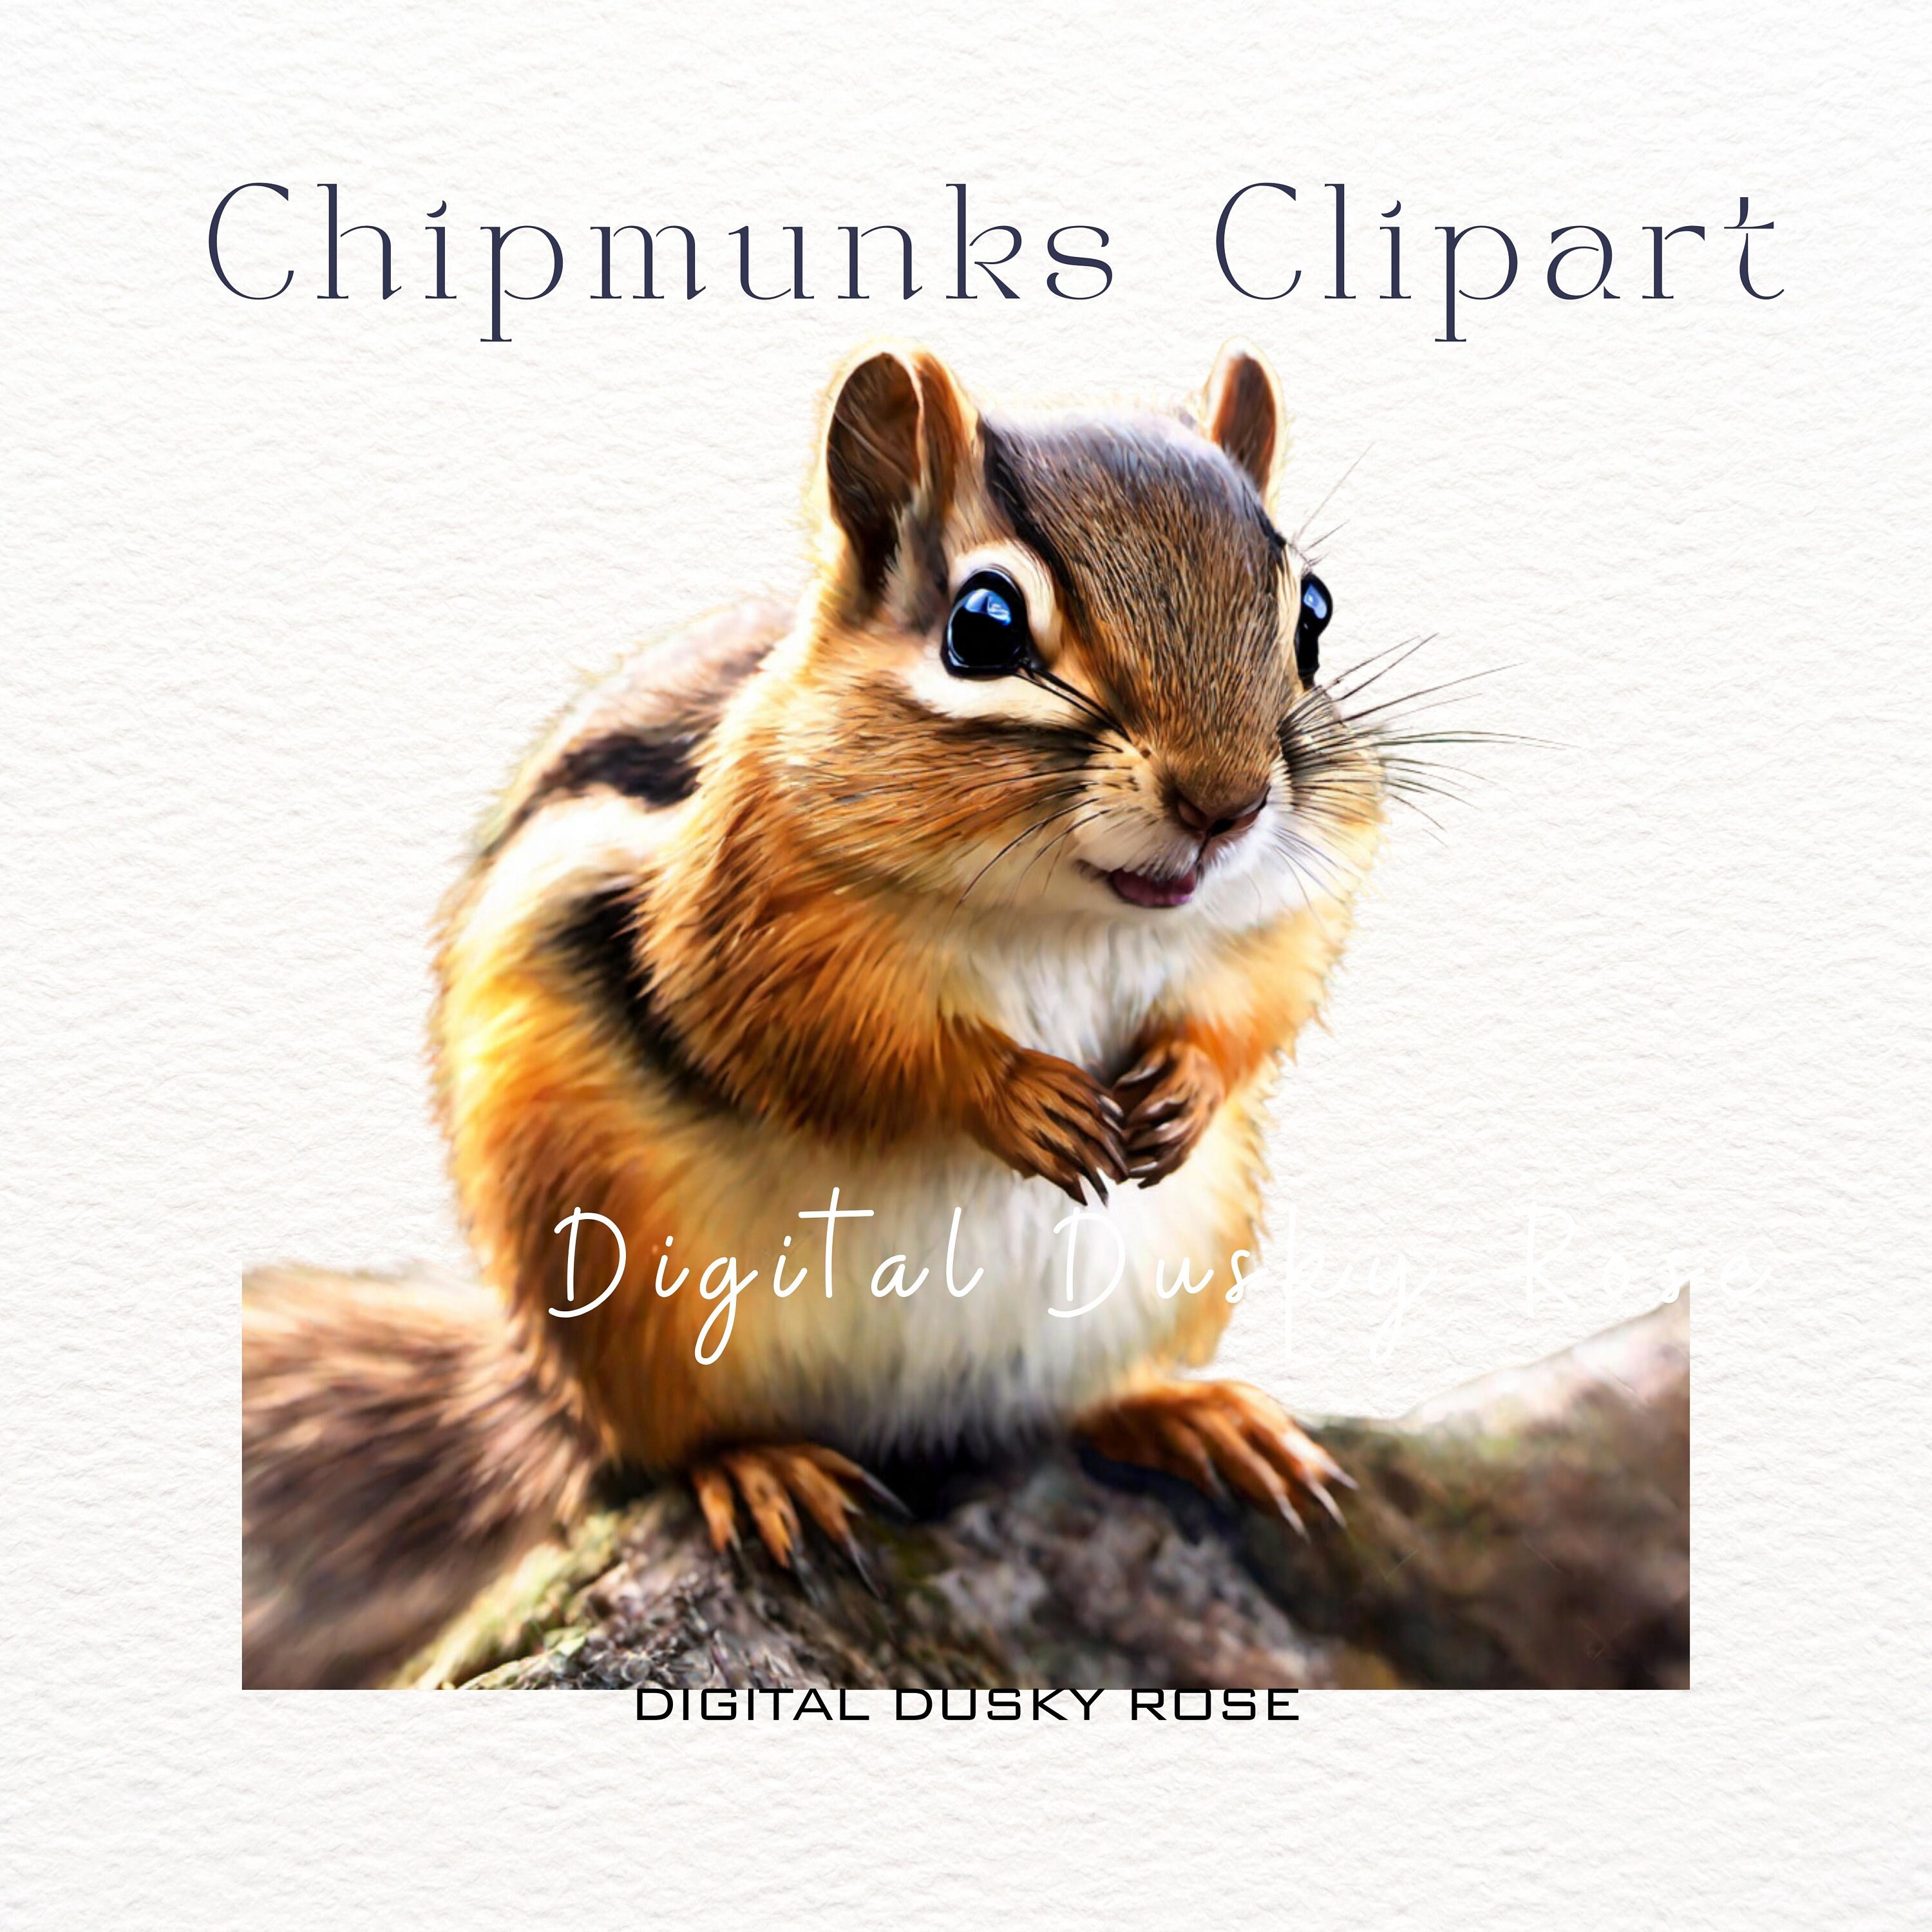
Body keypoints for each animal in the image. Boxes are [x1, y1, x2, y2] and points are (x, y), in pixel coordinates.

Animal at [242, 341, 1387, 1687]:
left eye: (1313, 615)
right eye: (983, 628)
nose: (1225, 803)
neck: (1071, 913)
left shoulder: (1287, 901)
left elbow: (1258, 995)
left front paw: (1185, 1086)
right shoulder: (748, 931)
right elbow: (835, 1043)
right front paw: (1015, 1096)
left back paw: (1186, 1413)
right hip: (622, 1276)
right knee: (666, 1449)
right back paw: (763, 1470)